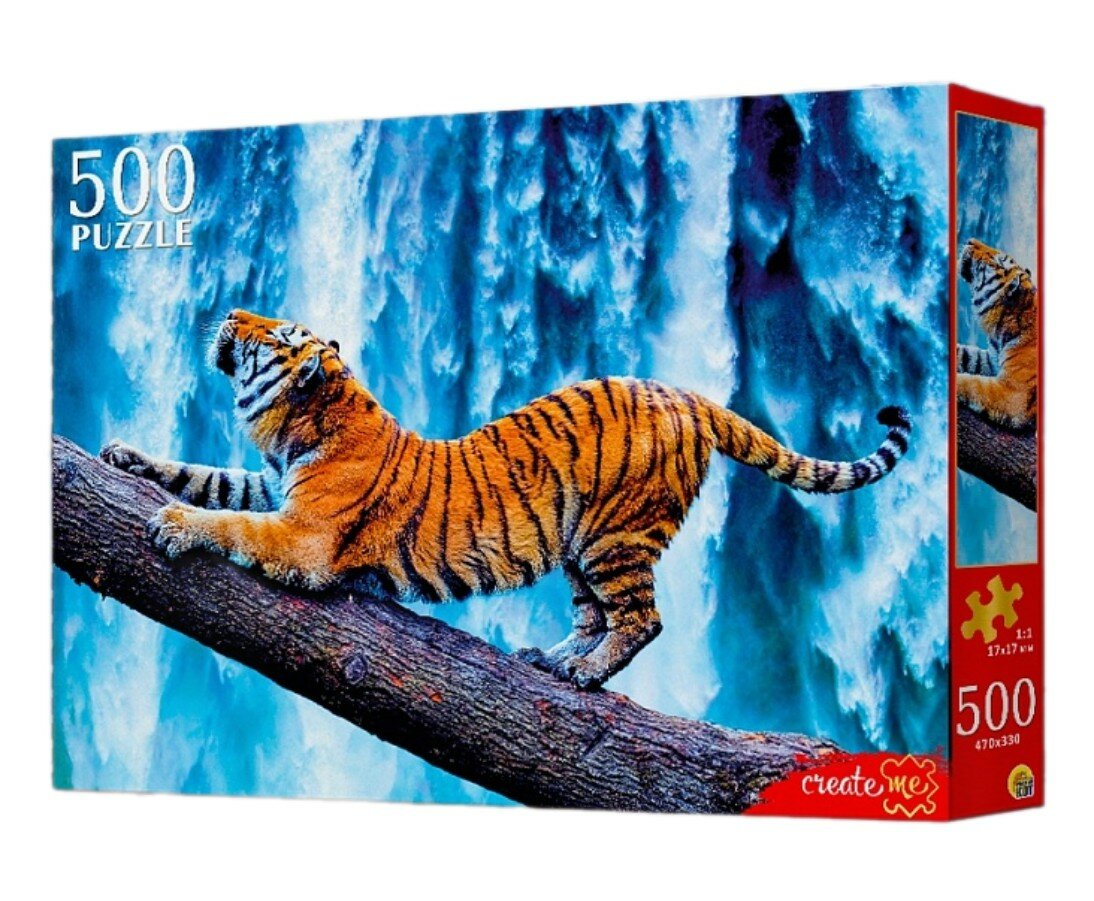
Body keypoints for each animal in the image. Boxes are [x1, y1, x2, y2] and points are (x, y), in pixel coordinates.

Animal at [101, 309, 911, 689]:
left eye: (276, 335)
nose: (233, 314)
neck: (301, 429)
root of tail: (684, 392)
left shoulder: (305, 536)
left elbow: (230, 518)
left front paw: (174, 524)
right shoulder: (273, 484)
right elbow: (210, 475)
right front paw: (126, 455)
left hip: (617, 536)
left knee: (642, 619)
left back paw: (582, 673)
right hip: (581, 544)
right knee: (594, 615)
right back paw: (549, 658)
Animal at [956, 238, 1038, 430]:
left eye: (999, 260)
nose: (970, 240)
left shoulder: (1014, 393)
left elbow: (974, 383)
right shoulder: (991, 359)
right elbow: (968, 355)